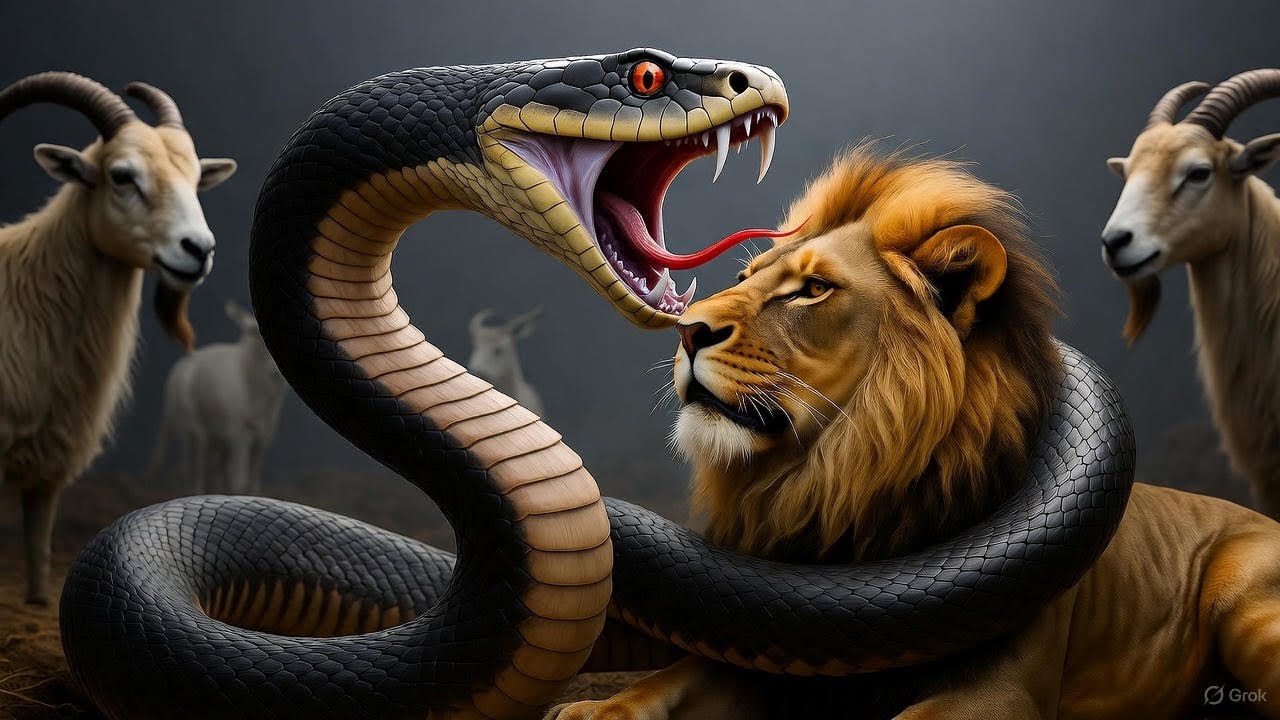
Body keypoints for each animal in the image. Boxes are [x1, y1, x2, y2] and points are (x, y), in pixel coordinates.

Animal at [548, 146, 1280, 720]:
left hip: (1247, 606)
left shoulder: (1004, 691)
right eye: (745, 277)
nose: (687, 330)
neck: (839, 480)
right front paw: (590, 710)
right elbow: (661, 686)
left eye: (811, 289)